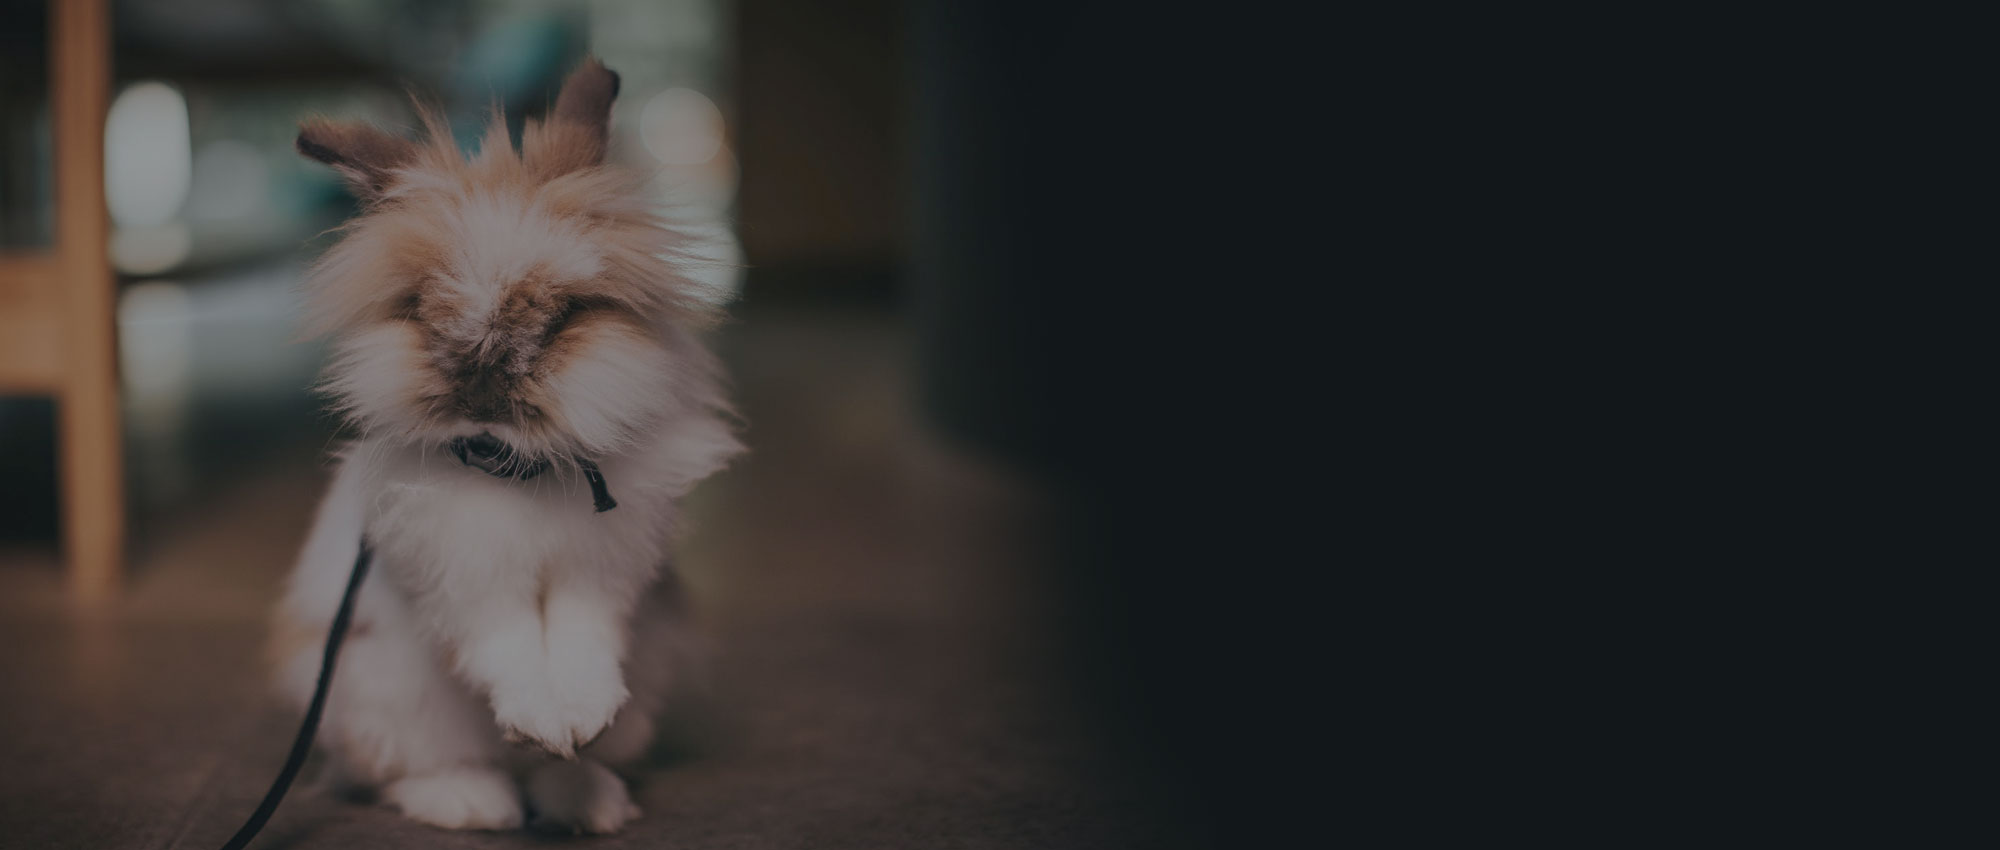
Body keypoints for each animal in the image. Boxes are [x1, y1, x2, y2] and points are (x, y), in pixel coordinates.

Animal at [267, 59, 743, 834]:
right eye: (422, 308)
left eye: (566, 315)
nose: (483, 383)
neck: (516, 467)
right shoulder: (462, 574)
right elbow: (509, 643)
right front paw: (539, 721)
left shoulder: (605, 571)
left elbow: (581, 639)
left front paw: (576, 722)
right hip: (377, 698)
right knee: (411, 770)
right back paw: (473, 804)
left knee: (546, 773)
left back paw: (588, 799)